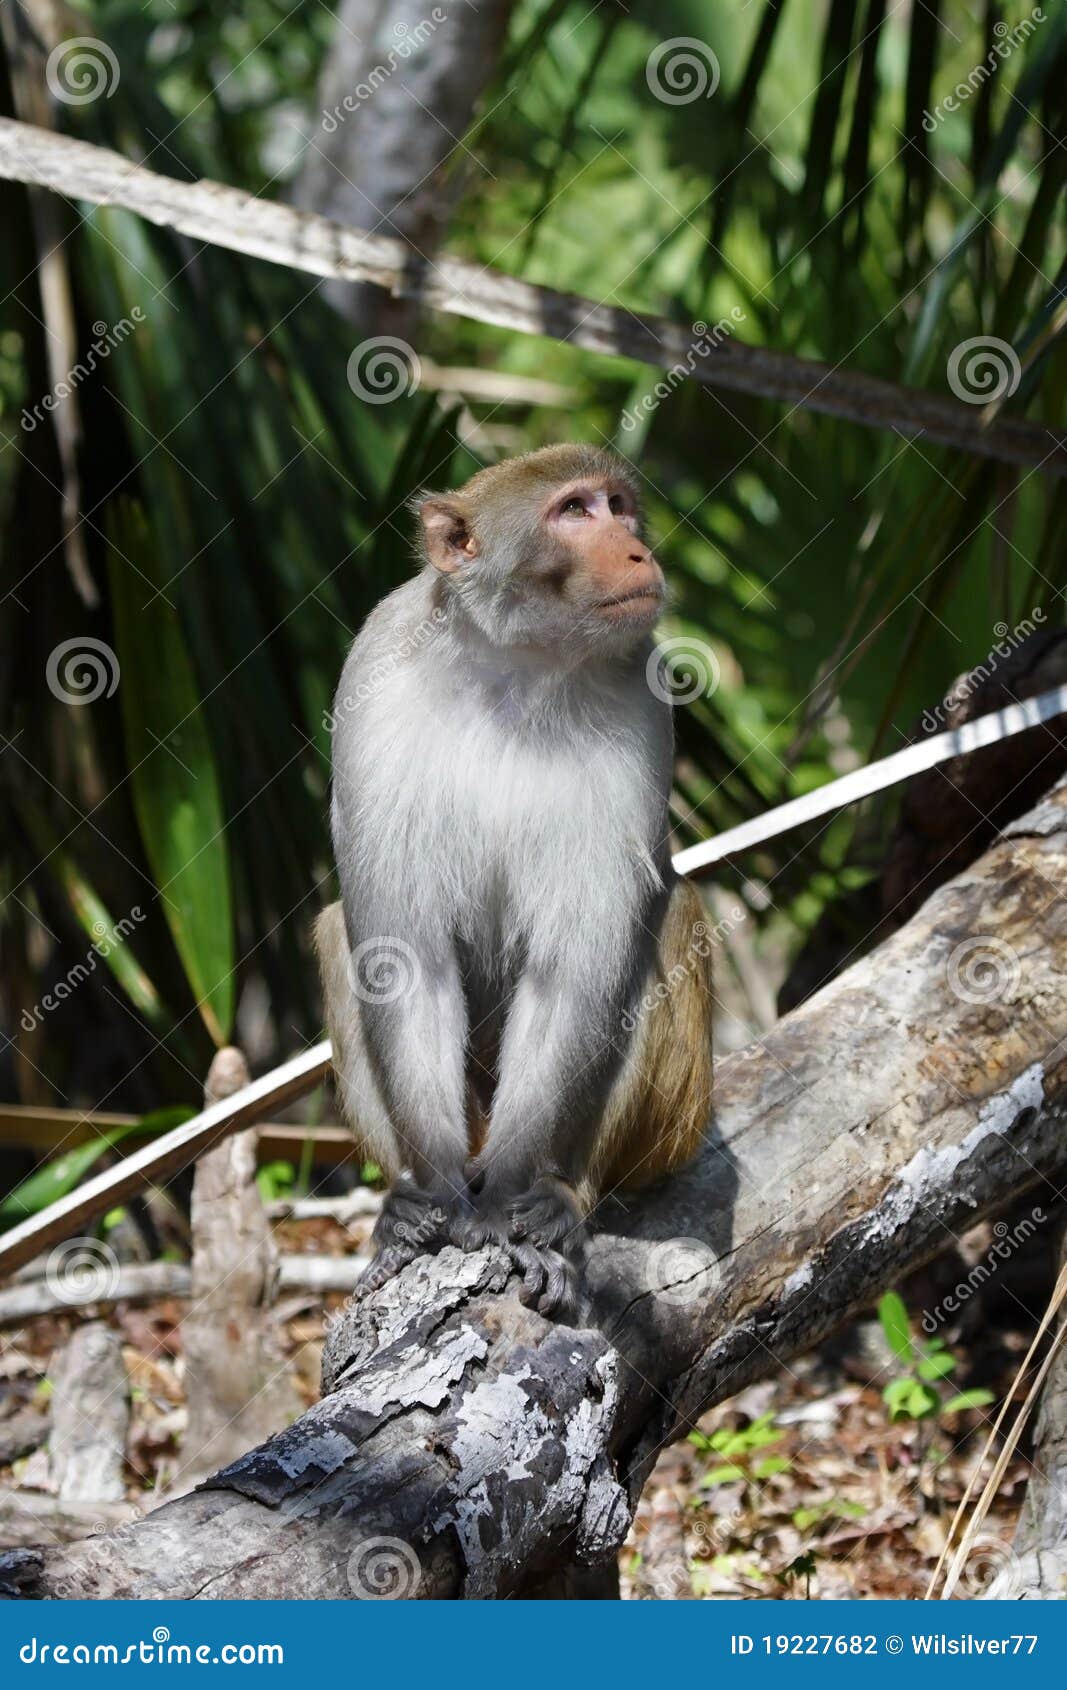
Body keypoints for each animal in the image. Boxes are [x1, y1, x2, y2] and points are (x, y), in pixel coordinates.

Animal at [316, 443, 713, 1313]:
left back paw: (560, 1196)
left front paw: (504, 1204)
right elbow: (403, 961)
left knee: (667, 919)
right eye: (572, 512)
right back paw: (412, 1195)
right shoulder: (372, 674)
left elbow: (572, 978)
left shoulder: (640, 693)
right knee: (337, 933)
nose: (637, 552)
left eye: (617, 506)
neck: (516, 668)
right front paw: (433, 1199)